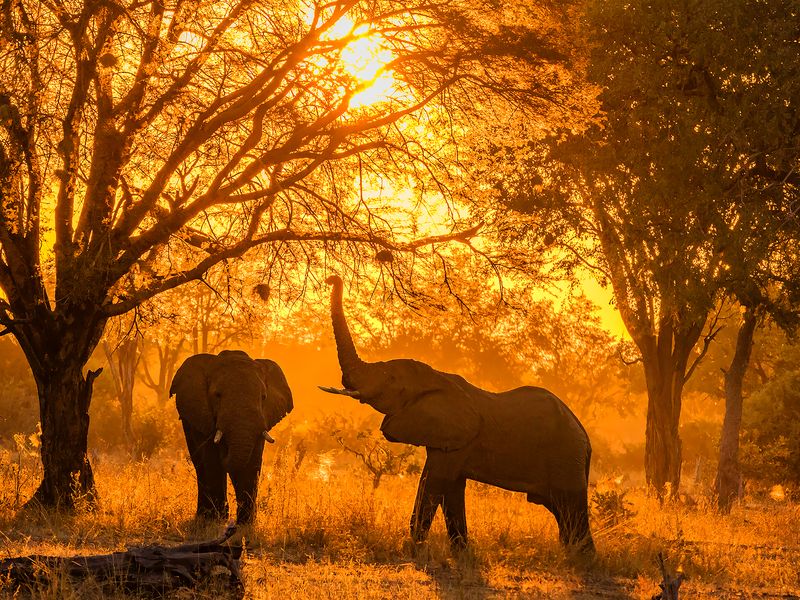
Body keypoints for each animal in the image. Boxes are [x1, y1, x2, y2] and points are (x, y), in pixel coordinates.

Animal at [170, 349, 293, 523]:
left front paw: (245, 524)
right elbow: (211, 460)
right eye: (217, 395)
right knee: (200, 464)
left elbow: (252, 463)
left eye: (263, 397)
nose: (225, 451)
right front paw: (214, 521)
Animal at [320, 276, 595, 555]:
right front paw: (460, 553)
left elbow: (436, 482)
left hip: (565, 457)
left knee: (571, 508)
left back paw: (581, 558)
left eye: (390, 380)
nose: (332, 278)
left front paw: (414, 548)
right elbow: (449, 488)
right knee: (564, 513)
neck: (436, 376)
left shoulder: (460, 440)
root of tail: (584, 435)